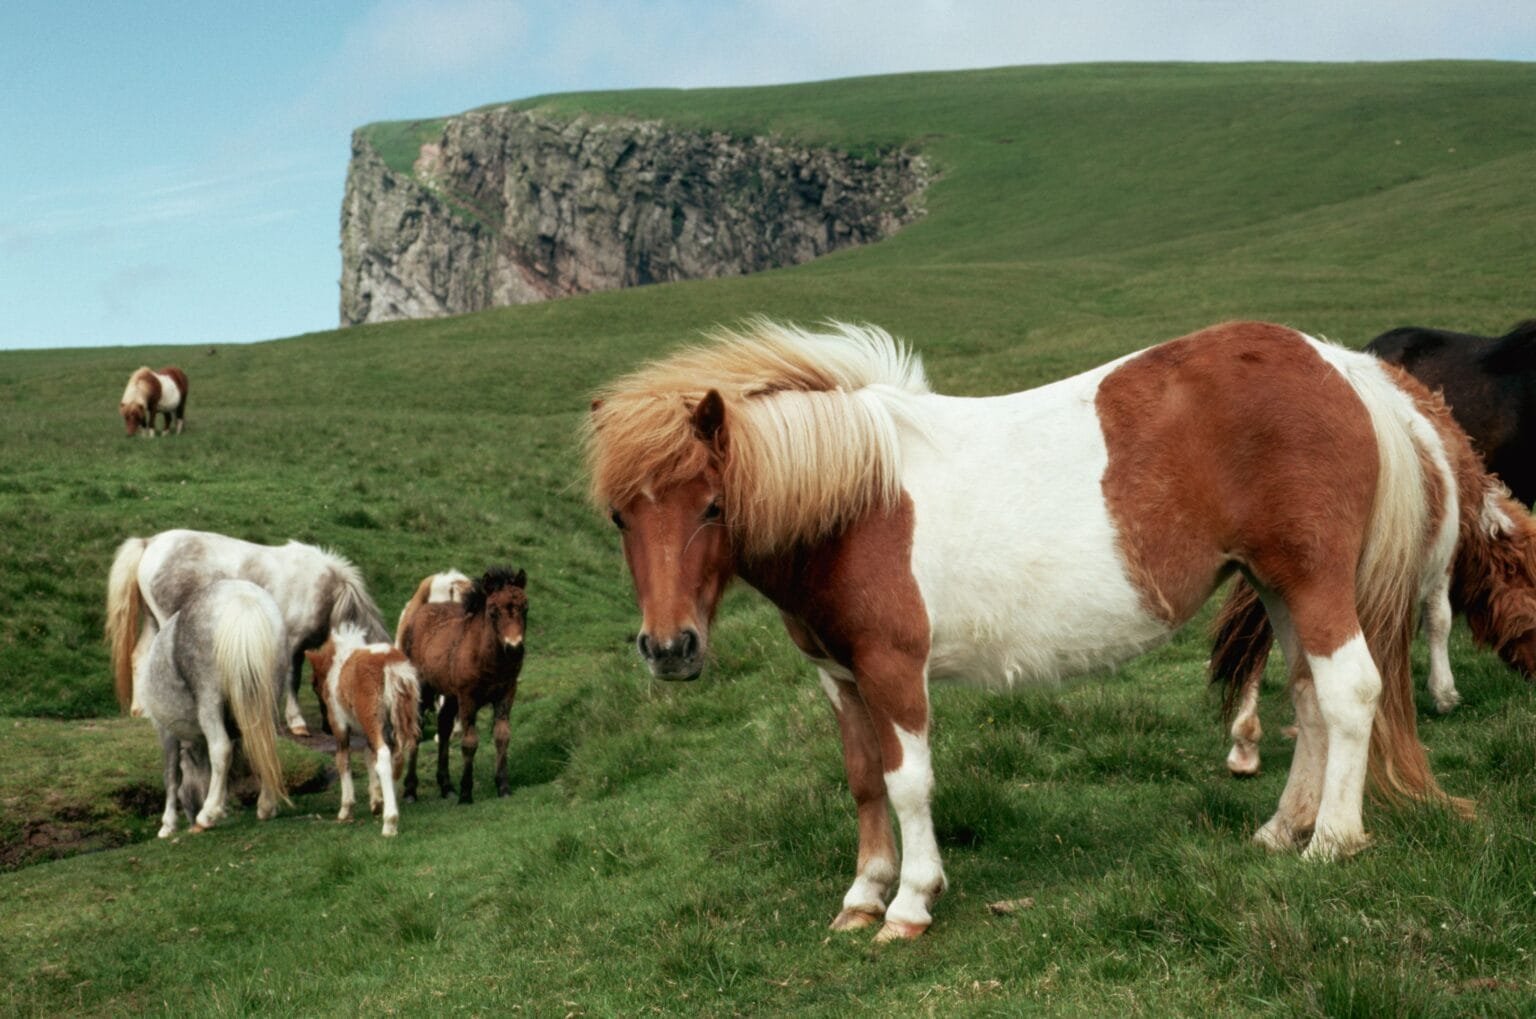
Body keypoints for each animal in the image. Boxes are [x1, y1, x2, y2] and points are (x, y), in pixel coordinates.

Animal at [106, 528, 391, 735]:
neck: (327, 591)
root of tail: (151, 542)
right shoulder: (292, 642)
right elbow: (291, 678)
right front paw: (295, 721)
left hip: (152, 620)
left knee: (140, 657)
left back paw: (140, 709)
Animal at [137, 579, 289, 837]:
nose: (191, 815)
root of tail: (242, 600)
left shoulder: (166, 731)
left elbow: (172, 775)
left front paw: (168, 824)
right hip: (269, 698)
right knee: (266, 745)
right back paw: (266, 806)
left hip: (209, 701)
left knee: (220, 749)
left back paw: (206, 816)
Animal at [305, 624, 421, 837]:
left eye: (315, 685)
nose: (325, 728)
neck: (337, 666)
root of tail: (389, 662)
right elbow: (368, 756)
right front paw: (376, 801)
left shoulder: (340, 726)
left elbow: (343, 760)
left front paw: (345, 809)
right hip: (398, 719)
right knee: (398, 757)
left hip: (371, 718)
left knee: (384, 757)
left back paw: (390, 822)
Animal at [398, 567, 527, 804]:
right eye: (493, 611)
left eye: (525, 608)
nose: (514, 648)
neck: (488, 659)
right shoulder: (468, 697)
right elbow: (470, 742)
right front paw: (466, 793)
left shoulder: (506, 693)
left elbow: (502, 736)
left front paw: (503, 786)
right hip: (421, 688)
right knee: (417, 731)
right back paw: (411, 790)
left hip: (450, 694)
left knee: (444, 725)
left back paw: (446, 786)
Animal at [584, 318, 1485, 941]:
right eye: (620, 515)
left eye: (711, 506)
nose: (670, 649)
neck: (857, 500)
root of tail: (1341, 366)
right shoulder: (839, 676)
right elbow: (864, 779)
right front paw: (862, 894)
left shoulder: (892, 667)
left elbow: (909, 782)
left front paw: (910, 903)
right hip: (1276, 587)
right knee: (1307, 696)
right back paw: (1279, 829)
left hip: (1312, 578)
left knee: (1350, 692)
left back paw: (1330, 839)